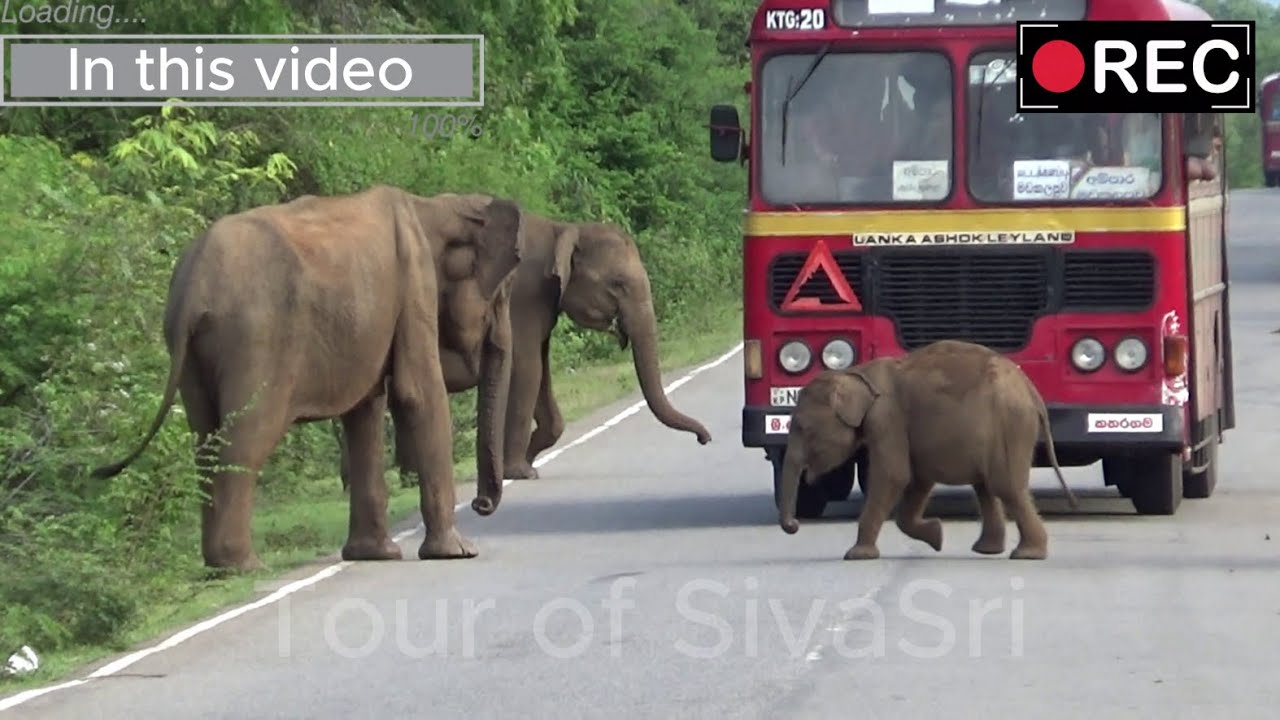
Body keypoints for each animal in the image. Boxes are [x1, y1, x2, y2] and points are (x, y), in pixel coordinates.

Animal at [91, 184, 526, 570]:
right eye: (501, 295)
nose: (480, 504)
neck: (433, 206)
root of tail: (192, 287)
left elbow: (365, 411)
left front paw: (374, 555)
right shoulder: (414, 282)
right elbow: (419, 393)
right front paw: (458, 553)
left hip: (193, 355)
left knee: (205, 441)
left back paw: (219, 566)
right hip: (255, 340)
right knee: (245, 440)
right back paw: (243, 566)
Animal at [335, 203, 712, 489]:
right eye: (618, 283)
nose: (705, 440)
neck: (564, 230)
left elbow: (541, 370)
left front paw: (524, 465)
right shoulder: (523, 297)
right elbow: (526, 368)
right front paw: (518, 473)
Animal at [777, 340, 1078, 561]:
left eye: (802, 427)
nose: (794, 526)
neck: (856, 374)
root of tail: (1031, 392)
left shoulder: (887, 419)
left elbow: (893, 476)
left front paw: (856, 556)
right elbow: (917, 480)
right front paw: (937, 537)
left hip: (1009, 425)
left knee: (1005, 486)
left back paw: (1027, 555)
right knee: (986, 487)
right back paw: (988, 550)